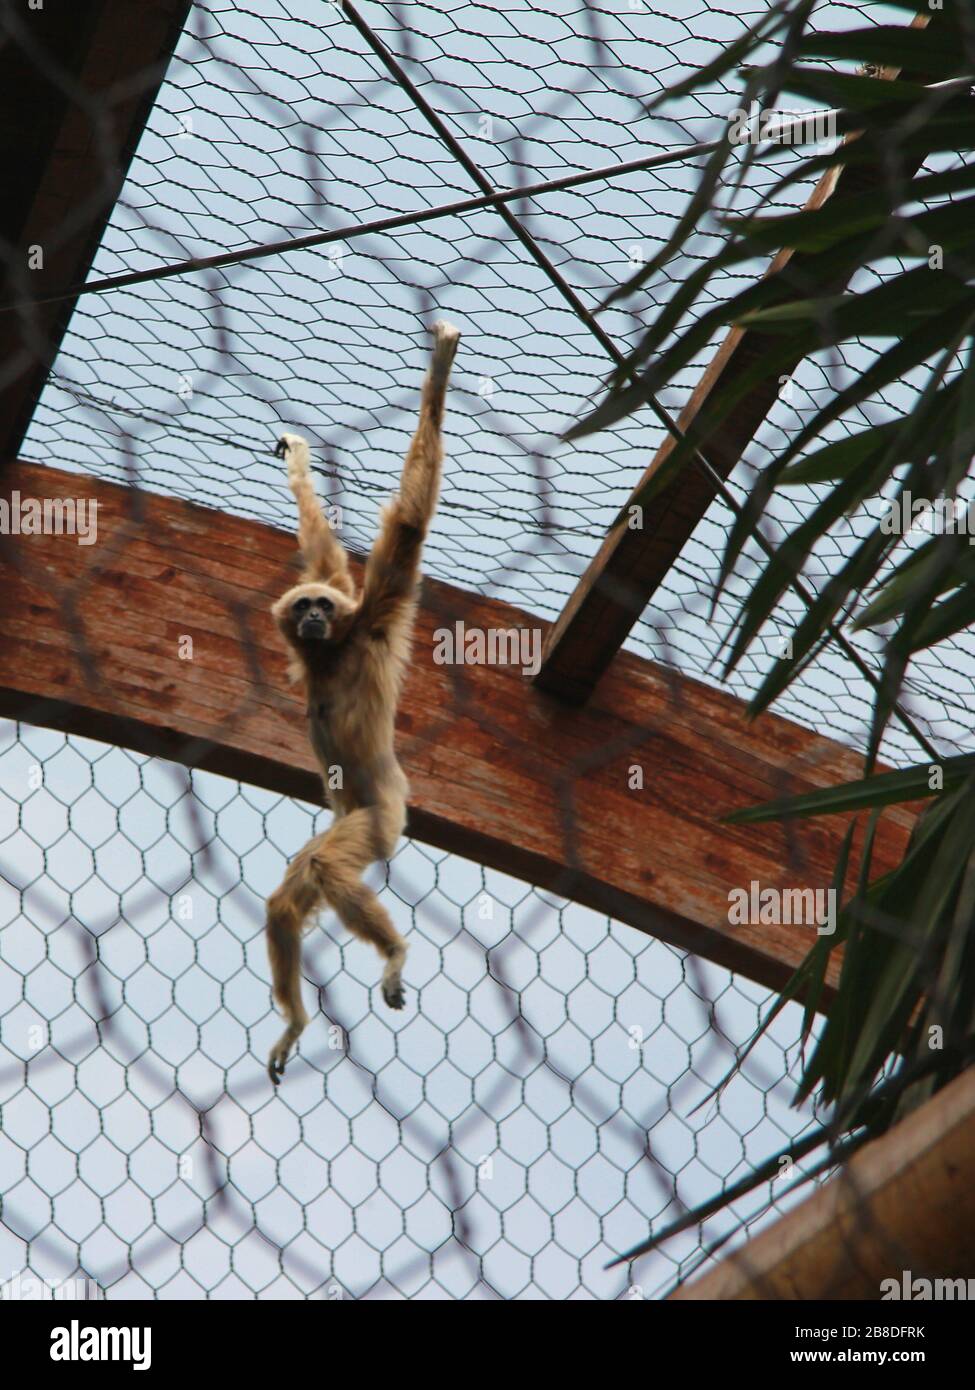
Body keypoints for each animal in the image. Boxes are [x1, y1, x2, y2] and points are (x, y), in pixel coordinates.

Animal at [264, 320, 460, 1084]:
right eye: (306, 608)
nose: (316, 616)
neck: (332, 651)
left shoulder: (374, 615)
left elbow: (405, 532)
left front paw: (440, 367)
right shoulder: (346, 606)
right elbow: (326, 555)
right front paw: (298, 467)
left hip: (375, 823)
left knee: (325, 867)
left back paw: (396, 953)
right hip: (348, 821)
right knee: (287, 898)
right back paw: (295, 1020)